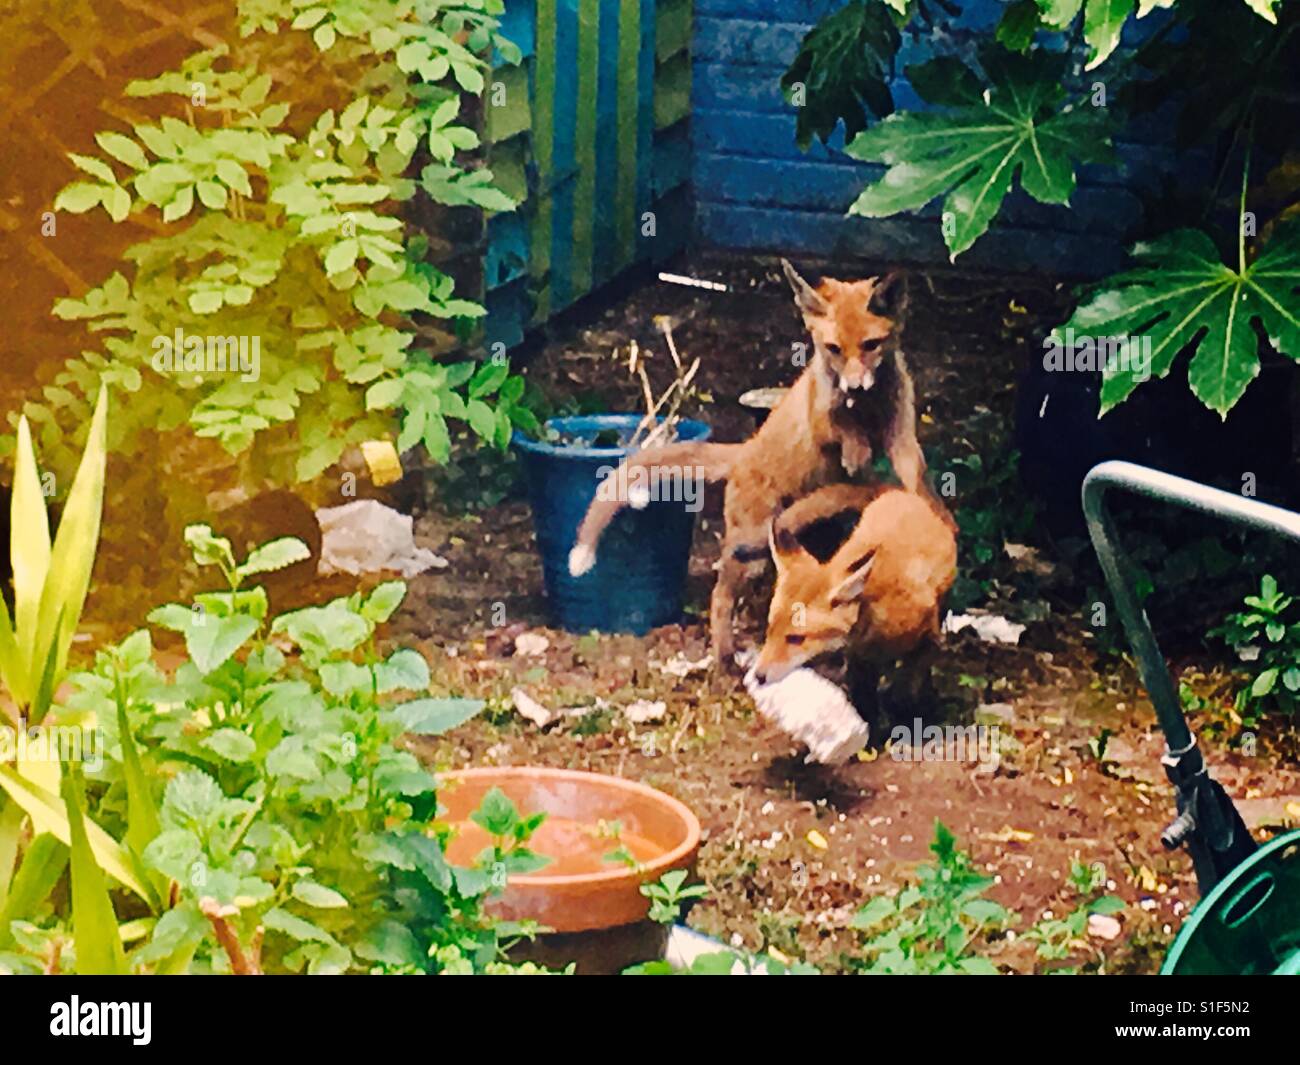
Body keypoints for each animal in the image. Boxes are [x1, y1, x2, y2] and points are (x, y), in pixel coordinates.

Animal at [568, 260, 945, 665]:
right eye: (833, 349)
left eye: (871, 345)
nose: (854, 387)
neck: (869, 407)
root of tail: (745, 450)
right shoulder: (821, 417)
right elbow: (841, 427)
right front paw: (855, 447)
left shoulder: (901, 436)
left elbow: (917, 479)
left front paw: (931, 515)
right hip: (750, 549)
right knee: (720, 595)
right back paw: (724, 657)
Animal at [751, 484, 957, 730]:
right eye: (770, 629)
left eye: (795, 638)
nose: (758, 676)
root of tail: (904, 495)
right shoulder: (860, 660)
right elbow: (866, 708)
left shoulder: (927, 640)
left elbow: (905, 693)